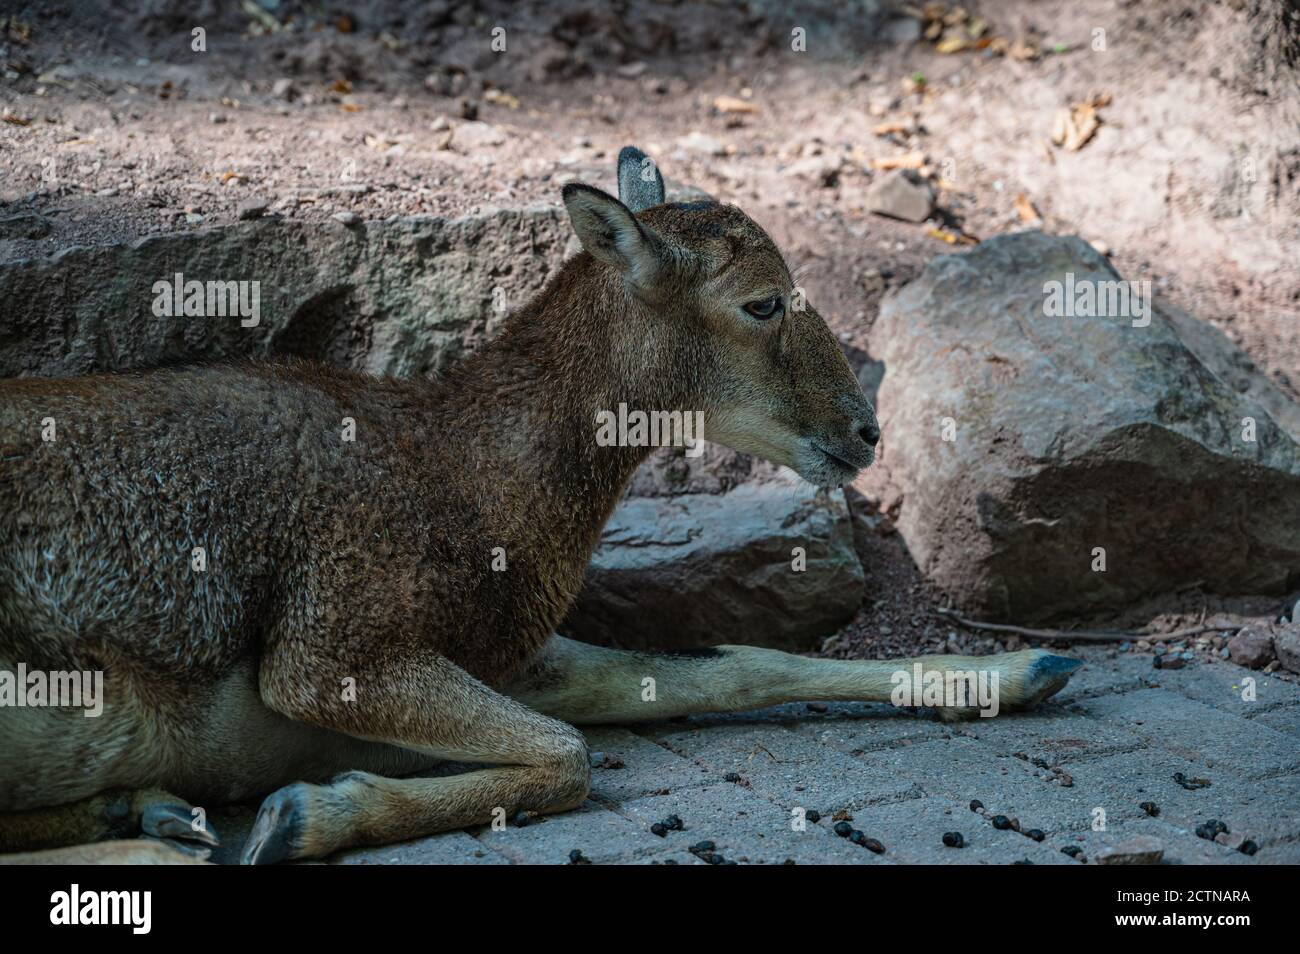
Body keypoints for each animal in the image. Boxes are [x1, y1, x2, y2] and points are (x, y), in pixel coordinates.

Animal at [0, 147, 1081, 864]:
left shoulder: (512, 655)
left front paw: (1022, 671)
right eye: (763, 302)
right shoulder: (331, 648)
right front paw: (301, 816)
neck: (476, 479)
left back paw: (142, 810)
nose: (863, 432)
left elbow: (730, 664)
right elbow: (571, 757)